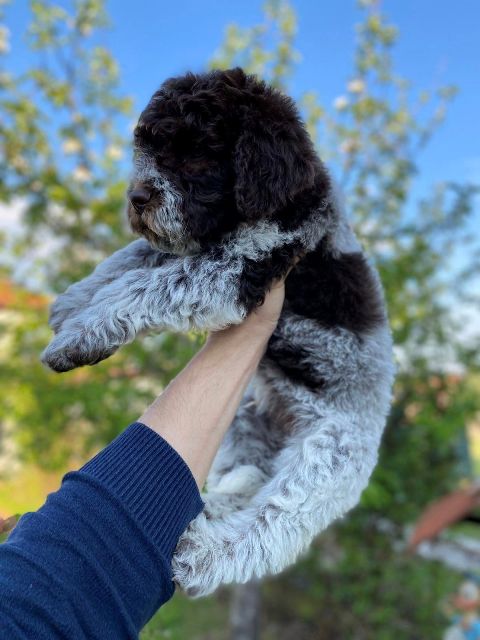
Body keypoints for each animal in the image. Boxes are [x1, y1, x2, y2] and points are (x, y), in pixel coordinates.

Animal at [40, 67, 394, 596]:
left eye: (197, 155)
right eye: (152, 148)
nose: (137, 198)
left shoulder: (240, 265)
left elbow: (152, 284)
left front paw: (79, 335)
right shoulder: (198, 246)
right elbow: (131, 258)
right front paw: (73, 302)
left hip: (327, 457)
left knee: (273, 522)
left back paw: (202, 555)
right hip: (246, 424)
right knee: (247, 485)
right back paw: (216, 506)